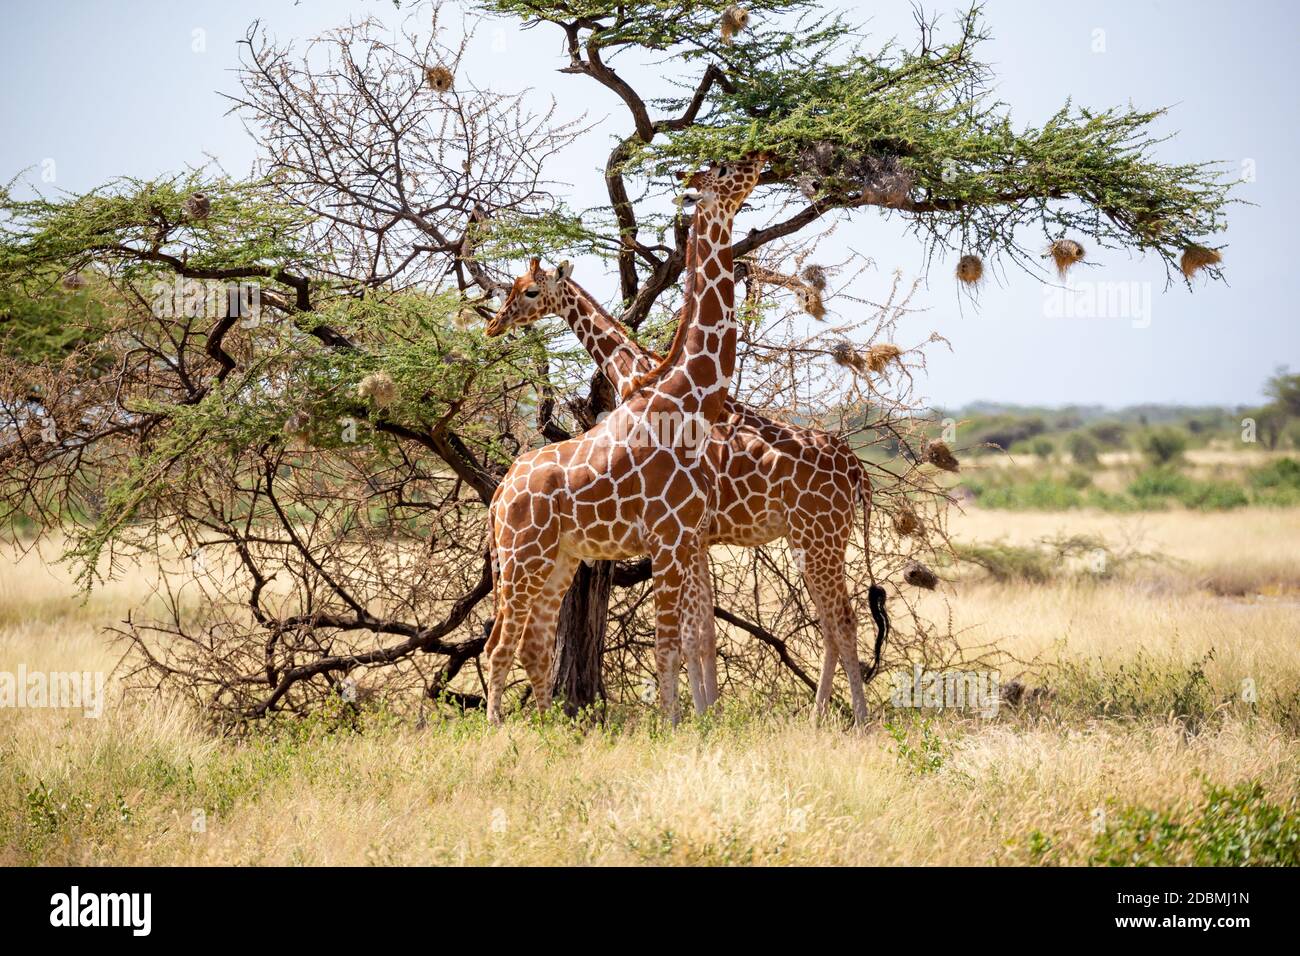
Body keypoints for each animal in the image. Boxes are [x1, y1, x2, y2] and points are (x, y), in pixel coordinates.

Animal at [481, 156, 767, 725]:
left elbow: (688, 638)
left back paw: (544, 726)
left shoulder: (686, 538)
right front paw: (674, 725)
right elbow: (671, 642)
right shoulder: (671, 538)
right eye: (727, 171)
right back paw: (501, 729)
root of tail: (499, 495)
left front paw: (692, 721)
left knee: (531, 643)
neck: (688, 398)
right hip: (524, 558)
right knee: (500, 644)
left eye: (528, 290)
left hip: (555, 560)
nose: (761, 159)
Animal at [486, 261, 889, 726]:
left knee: (842, 620)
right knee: (831, 623)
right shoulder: (698, 539)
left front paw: (700, 712)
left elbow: (695, 632)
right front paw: (706, 711)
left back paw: (856, 719)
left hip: (820, 536)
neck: (637, 375)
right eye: (511, 287)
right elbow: (703, 631)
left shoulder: (688, 535)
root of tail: (856, 467)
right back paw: (819, 716)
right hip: (809, 539)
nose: (495, 324)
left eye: (530, 292)